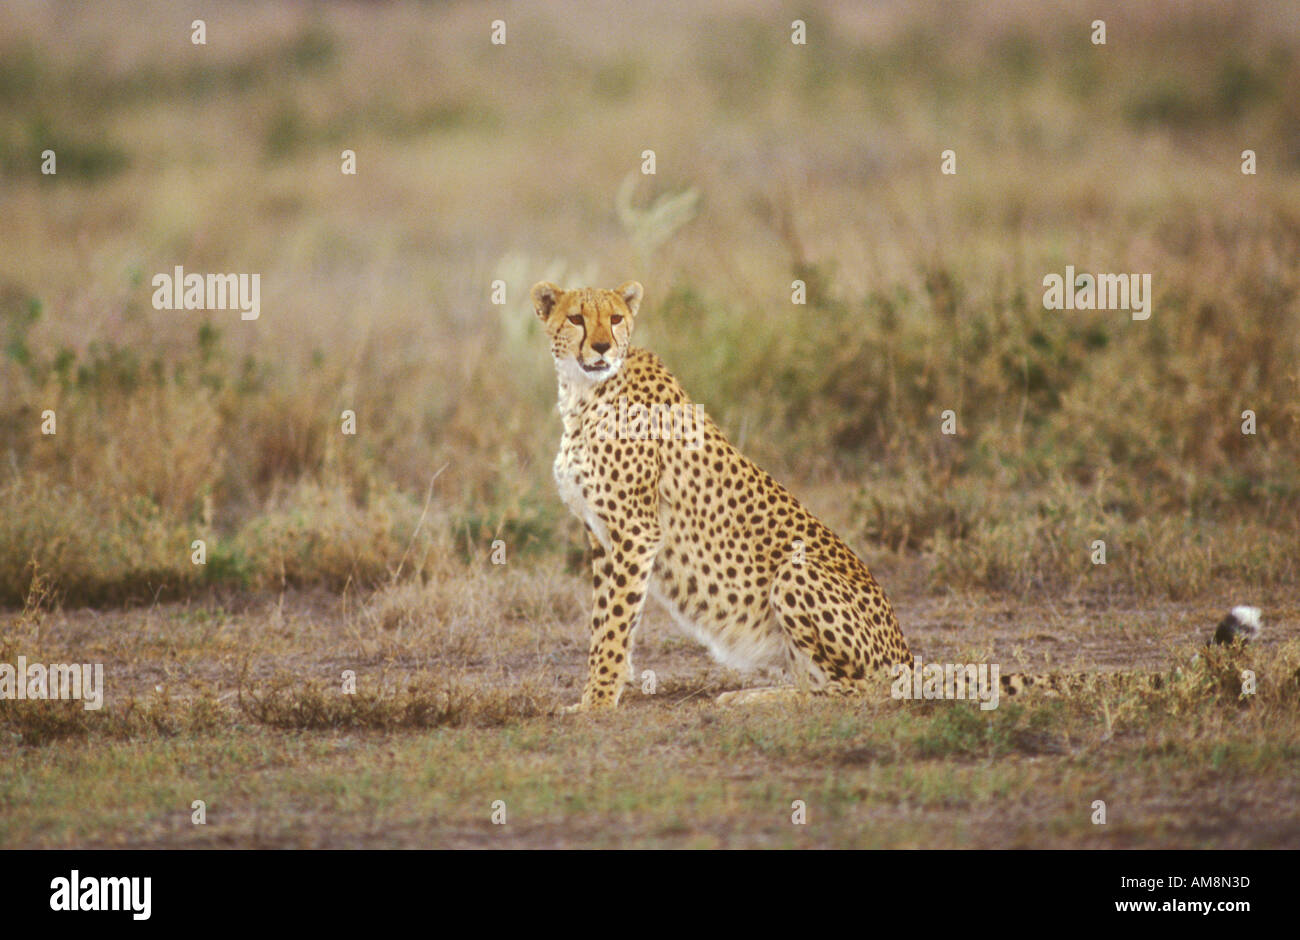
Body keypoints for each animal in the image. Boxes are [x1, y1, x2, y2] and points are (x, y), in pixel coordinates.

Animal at [531, 280, 1262, 712]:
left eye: (615, 317)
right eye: (576, 318)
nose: (602, 345)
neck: (584, 391)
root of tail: (907, 653)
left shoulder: (632, 534)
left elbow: (611, 625)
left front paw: (595, 702)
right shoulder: (602, 535)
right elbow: (606, 620)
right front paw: (605, 690)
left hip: (797, 574)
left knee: (858, 692)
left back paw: (755, 702)